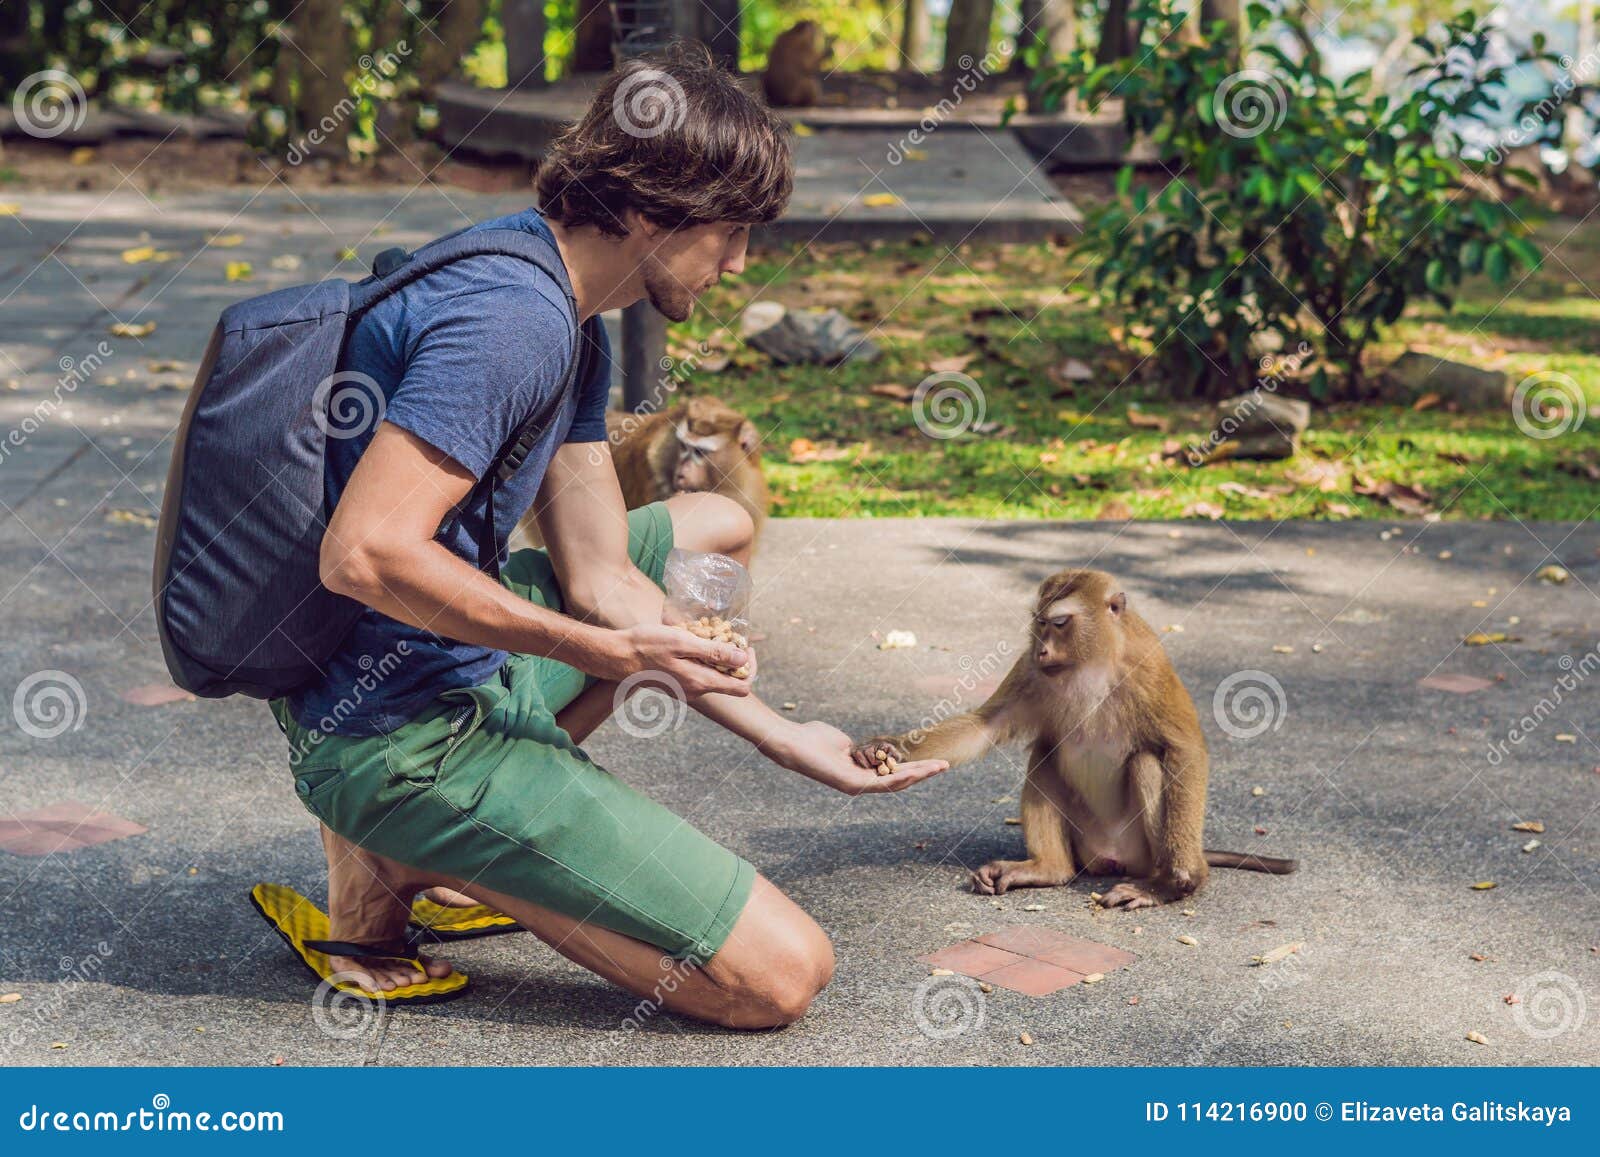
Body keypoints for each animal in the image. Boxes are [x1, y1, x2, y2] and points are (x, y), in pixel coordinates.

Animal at [851, 569, 1296, 909]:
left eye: (1061, 623)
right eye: (1040, 623)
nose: (1044, 650)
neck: (1090, 663)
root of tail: (1111, 858)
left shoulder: (1149, 665)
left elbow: (1183, 748)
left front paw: (1182, 877)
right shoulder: (1030, 670)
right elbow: (986, 725)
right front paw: (885, 749)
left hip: (1141, 850)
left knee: (1145, 763)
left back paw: (1160, 885)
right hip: (1084, 842)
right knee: (1045, 754)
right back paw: (1048, 870)